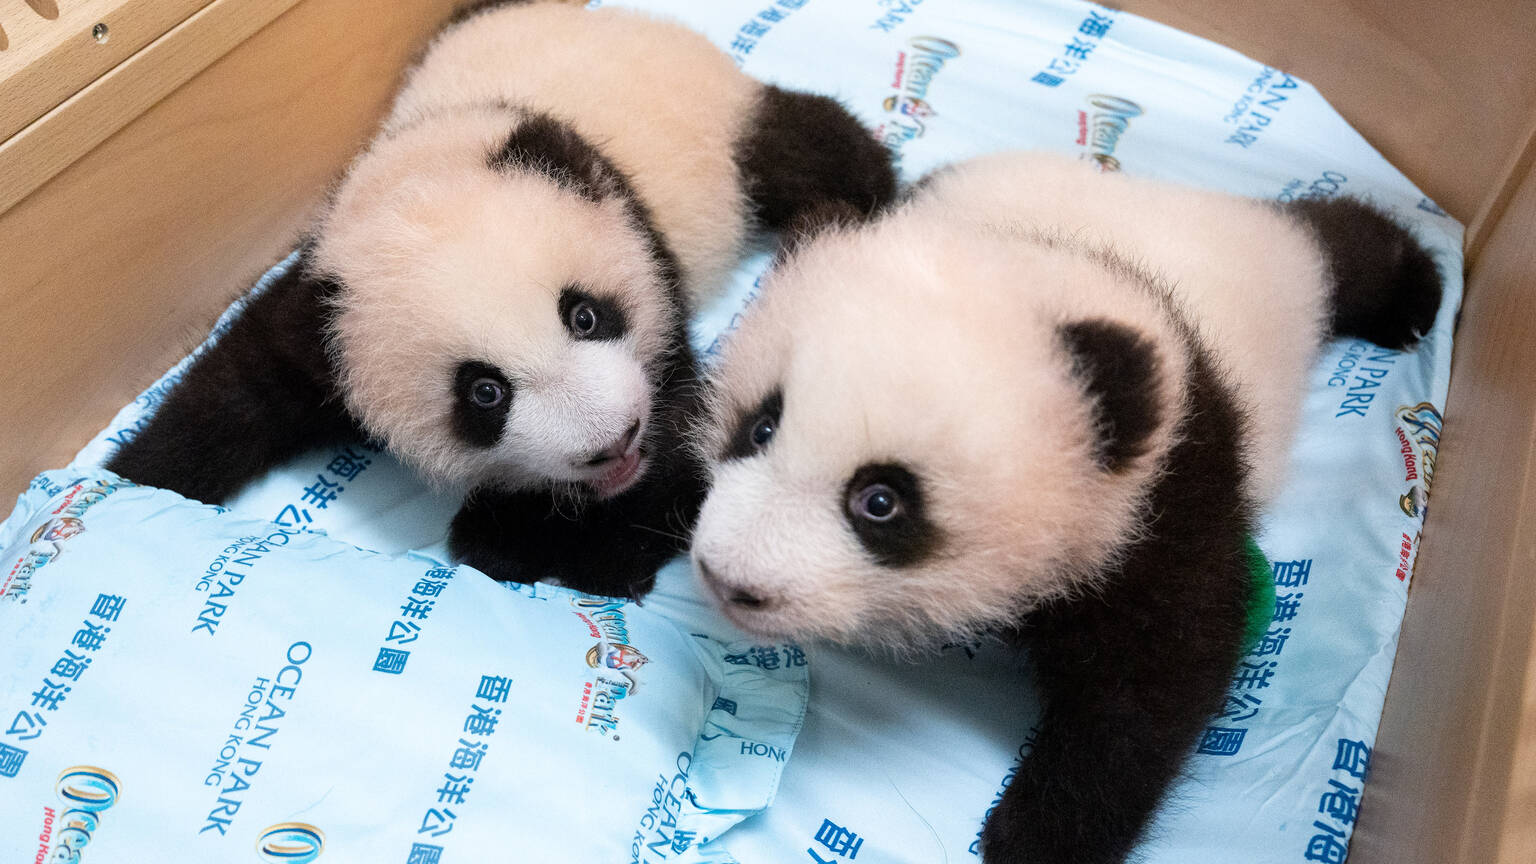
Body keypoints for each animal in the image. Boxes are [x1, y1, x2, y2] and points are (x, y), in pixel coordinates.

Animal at [105, 0, 896, 599]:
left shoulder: (647, 264)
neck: (424, 167)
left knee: (810, 145)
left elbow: (684, 430)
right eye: (484, 393)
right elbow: (240, 387)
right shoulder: (325, 309)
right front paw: (133, 482)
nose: (614, 441)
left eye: (585, 315)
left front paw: (571, 547)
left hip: (724, 127)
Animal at [688, 151, 1442, 864]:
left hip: (1281, 271)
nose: (730, 579)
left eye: (881, 503)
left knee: (1336, 244)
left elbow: (1154, 675)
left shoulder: (1164, 494)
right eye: (760, 428)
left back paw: (1413, 299)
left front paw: (1038, 837)